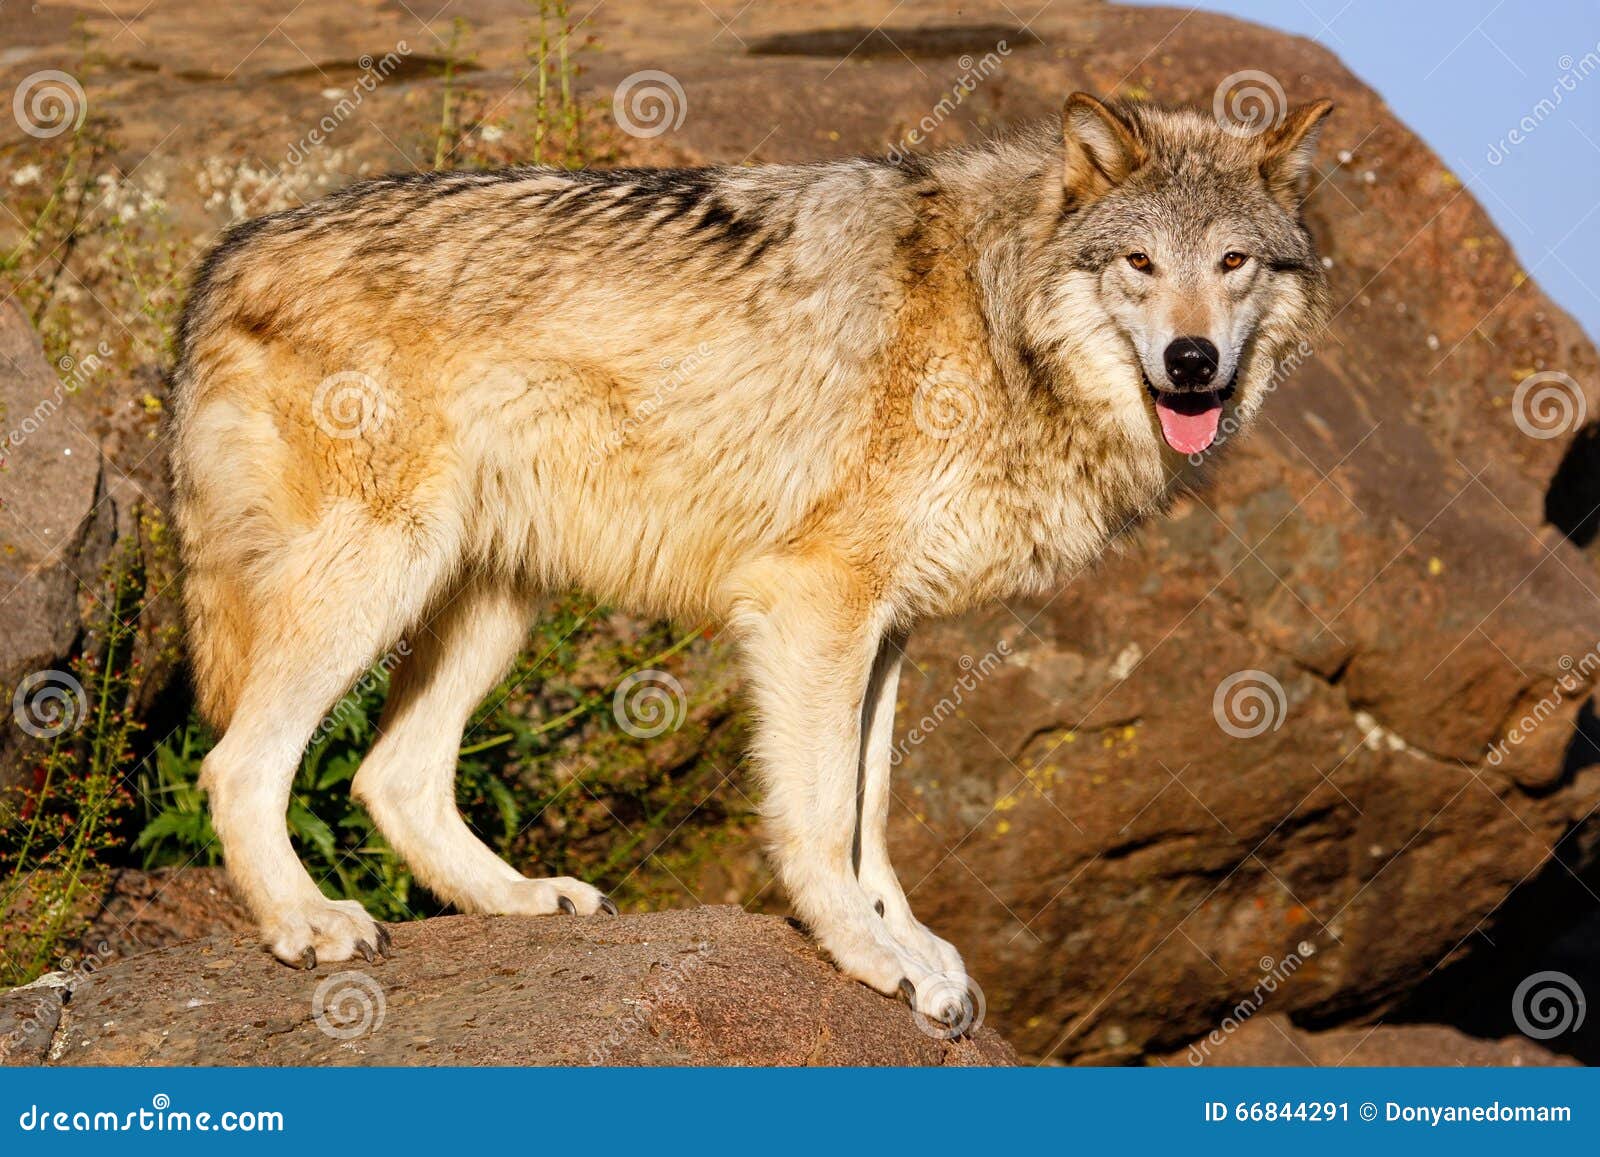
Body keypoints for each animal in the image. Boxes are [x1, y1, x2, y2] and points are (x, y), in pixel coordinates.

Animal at [170, 92, 1332, 1027]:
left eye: (1232, 263)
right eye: (1140, 262)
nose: (1193, 361)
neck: (995, 316)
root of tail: (226, 254)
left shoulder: (887, 626)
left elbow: (870, 811)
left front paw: (911, 947)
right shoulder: (813, 603)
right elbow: (820, 819)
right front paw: (870, 956)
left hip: (494, 599)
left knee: (394, 775)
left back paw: (524, 900)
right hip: (379, 579)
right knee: (239, 763)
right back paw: (307, 922)